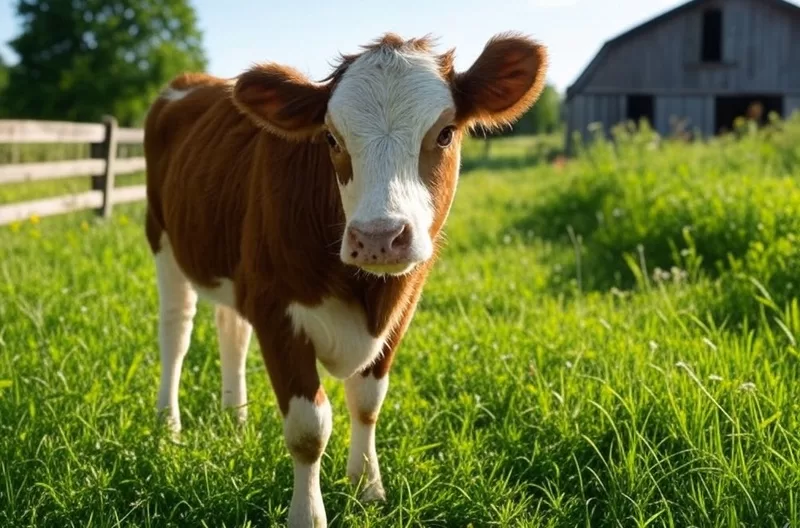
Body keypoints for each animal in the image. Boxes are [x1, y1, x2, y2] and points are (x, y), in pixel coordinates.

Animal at [143, 32, 548, 527]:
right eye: (331, 138)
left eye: (445, 133)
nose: (378, 237)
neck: (368, 293)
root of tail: (190, 82)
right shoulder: (276, 311)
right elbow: (308, 429)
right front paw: (308, 515)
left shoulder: (400, 311)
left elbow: (368, 401)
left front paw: (367, 487)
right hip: (162, 238)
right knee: (176, 333)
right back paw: (169, 426)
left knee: (231, 332)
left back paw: (236, 420)